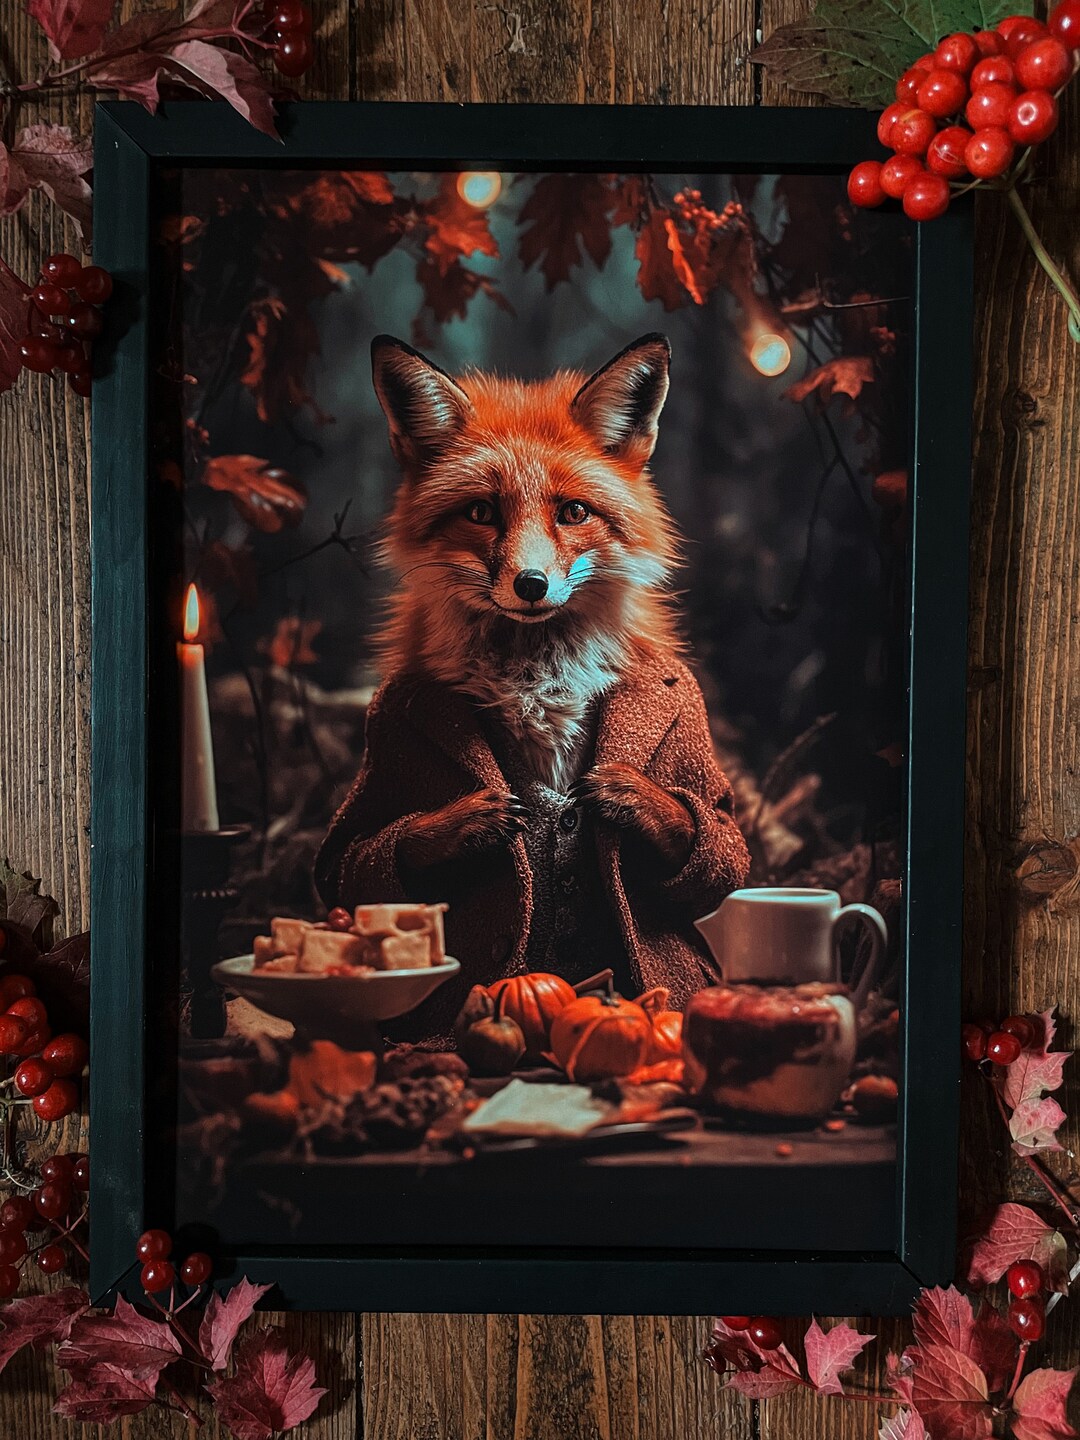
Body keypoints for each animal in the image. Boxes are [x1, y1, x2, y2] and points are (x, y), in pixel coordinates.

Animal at [316, 332, 750, 1032]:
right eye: (481, 511)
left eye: (573, 512)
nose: (531, 585)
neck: (538, 680)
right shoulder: (385, 733)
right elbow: (352, 861)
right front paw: (467, 821)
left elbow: (720, 845)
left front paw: (630, 795)